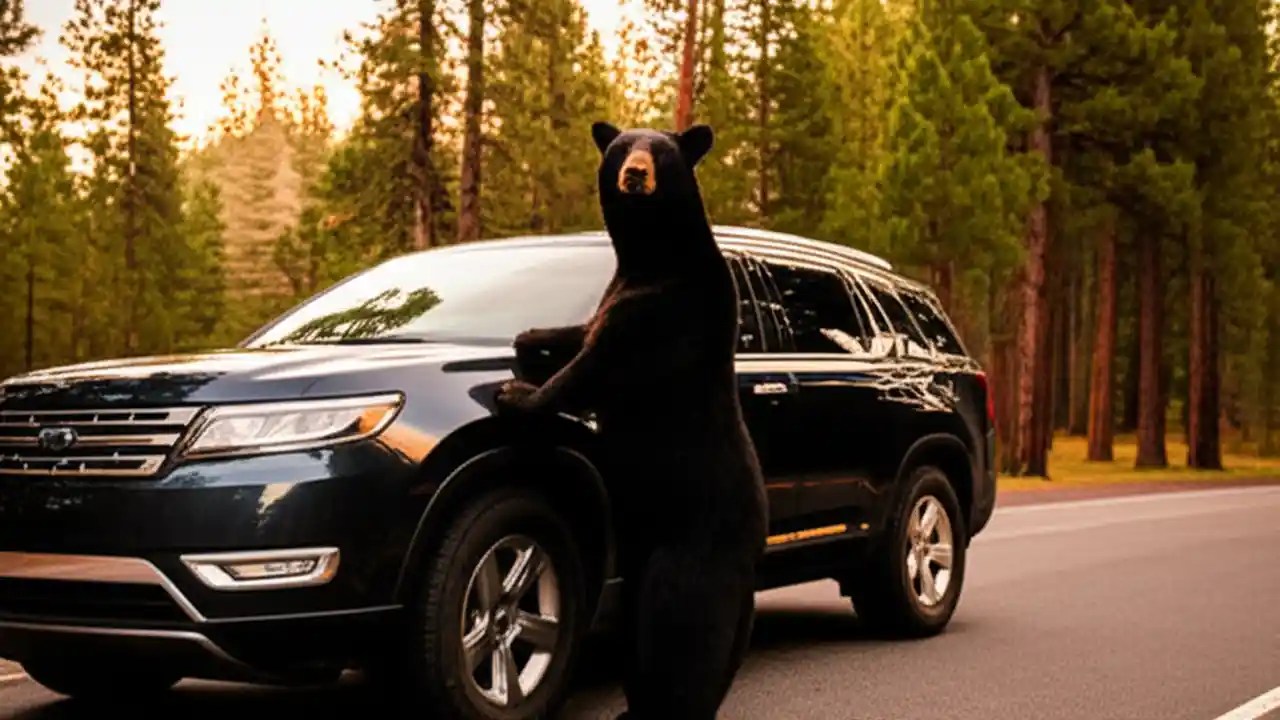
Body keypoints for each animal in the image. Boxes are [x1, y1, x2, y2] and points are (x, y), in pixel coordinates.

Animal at [495, 121, 769, 720]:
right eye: (622, 149)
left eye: (660, 153)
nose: (636, 173)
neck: (651, 255)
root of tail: (749, 564)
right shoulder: (618, 296)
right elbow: (584, 330)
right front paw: (530, 336)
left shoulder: (661, 316)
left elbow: (594, 366)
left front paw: (517, 392)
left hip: (683, 559)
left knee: (674, 636)